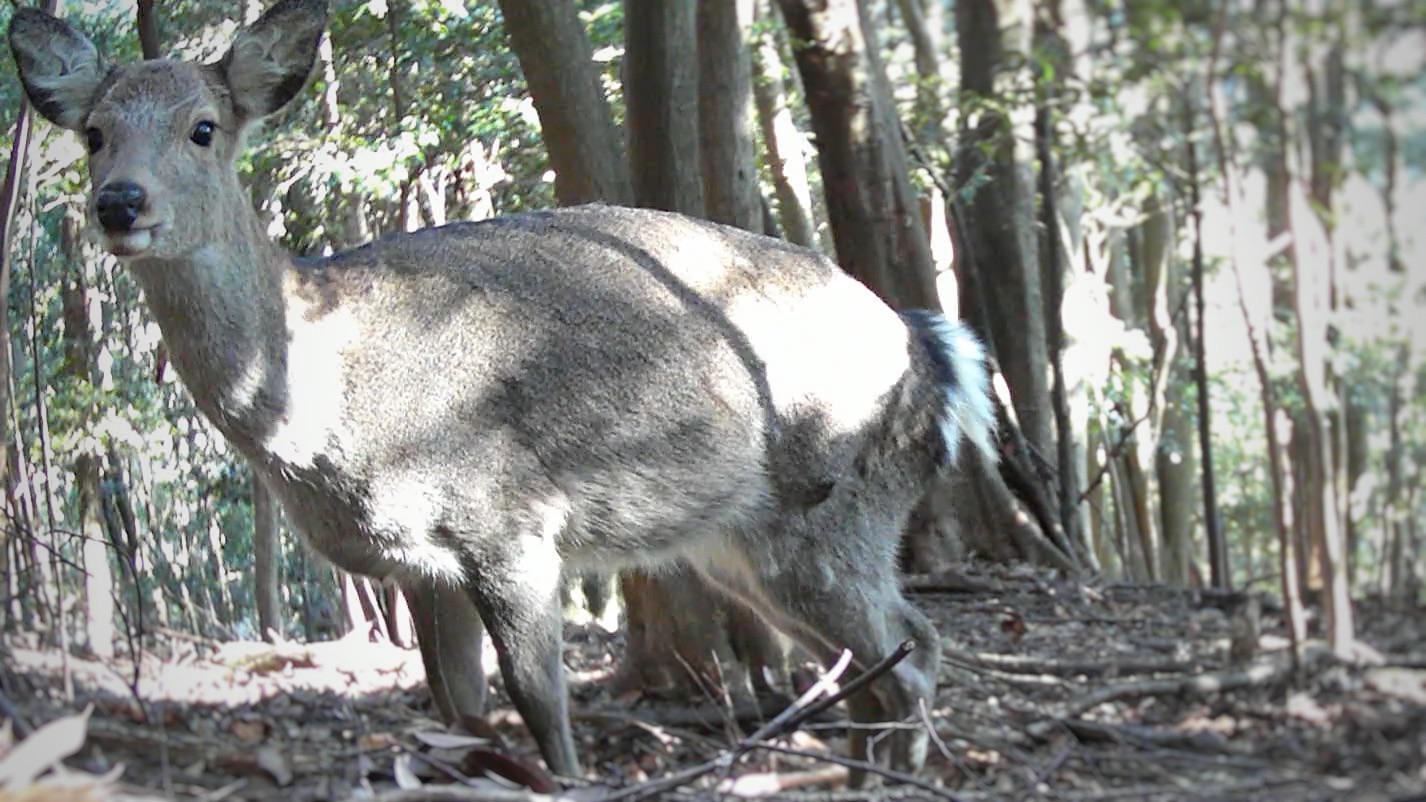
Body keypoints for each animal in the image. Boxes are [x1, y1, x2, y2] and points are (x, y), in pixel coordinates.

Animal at [9, 0, 994, 781]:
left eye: (204, 126)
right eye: (93, 132)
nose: (119, 202)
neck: (331, 405)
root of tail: (938, 356)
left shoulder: (507, 519)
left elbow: (539, 700)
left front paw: (567, 776)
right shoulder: (413, 563)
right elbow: (458, 708)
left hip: (834, 508)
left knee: (915, 651)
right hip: (740, 542)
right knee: (873, 669)